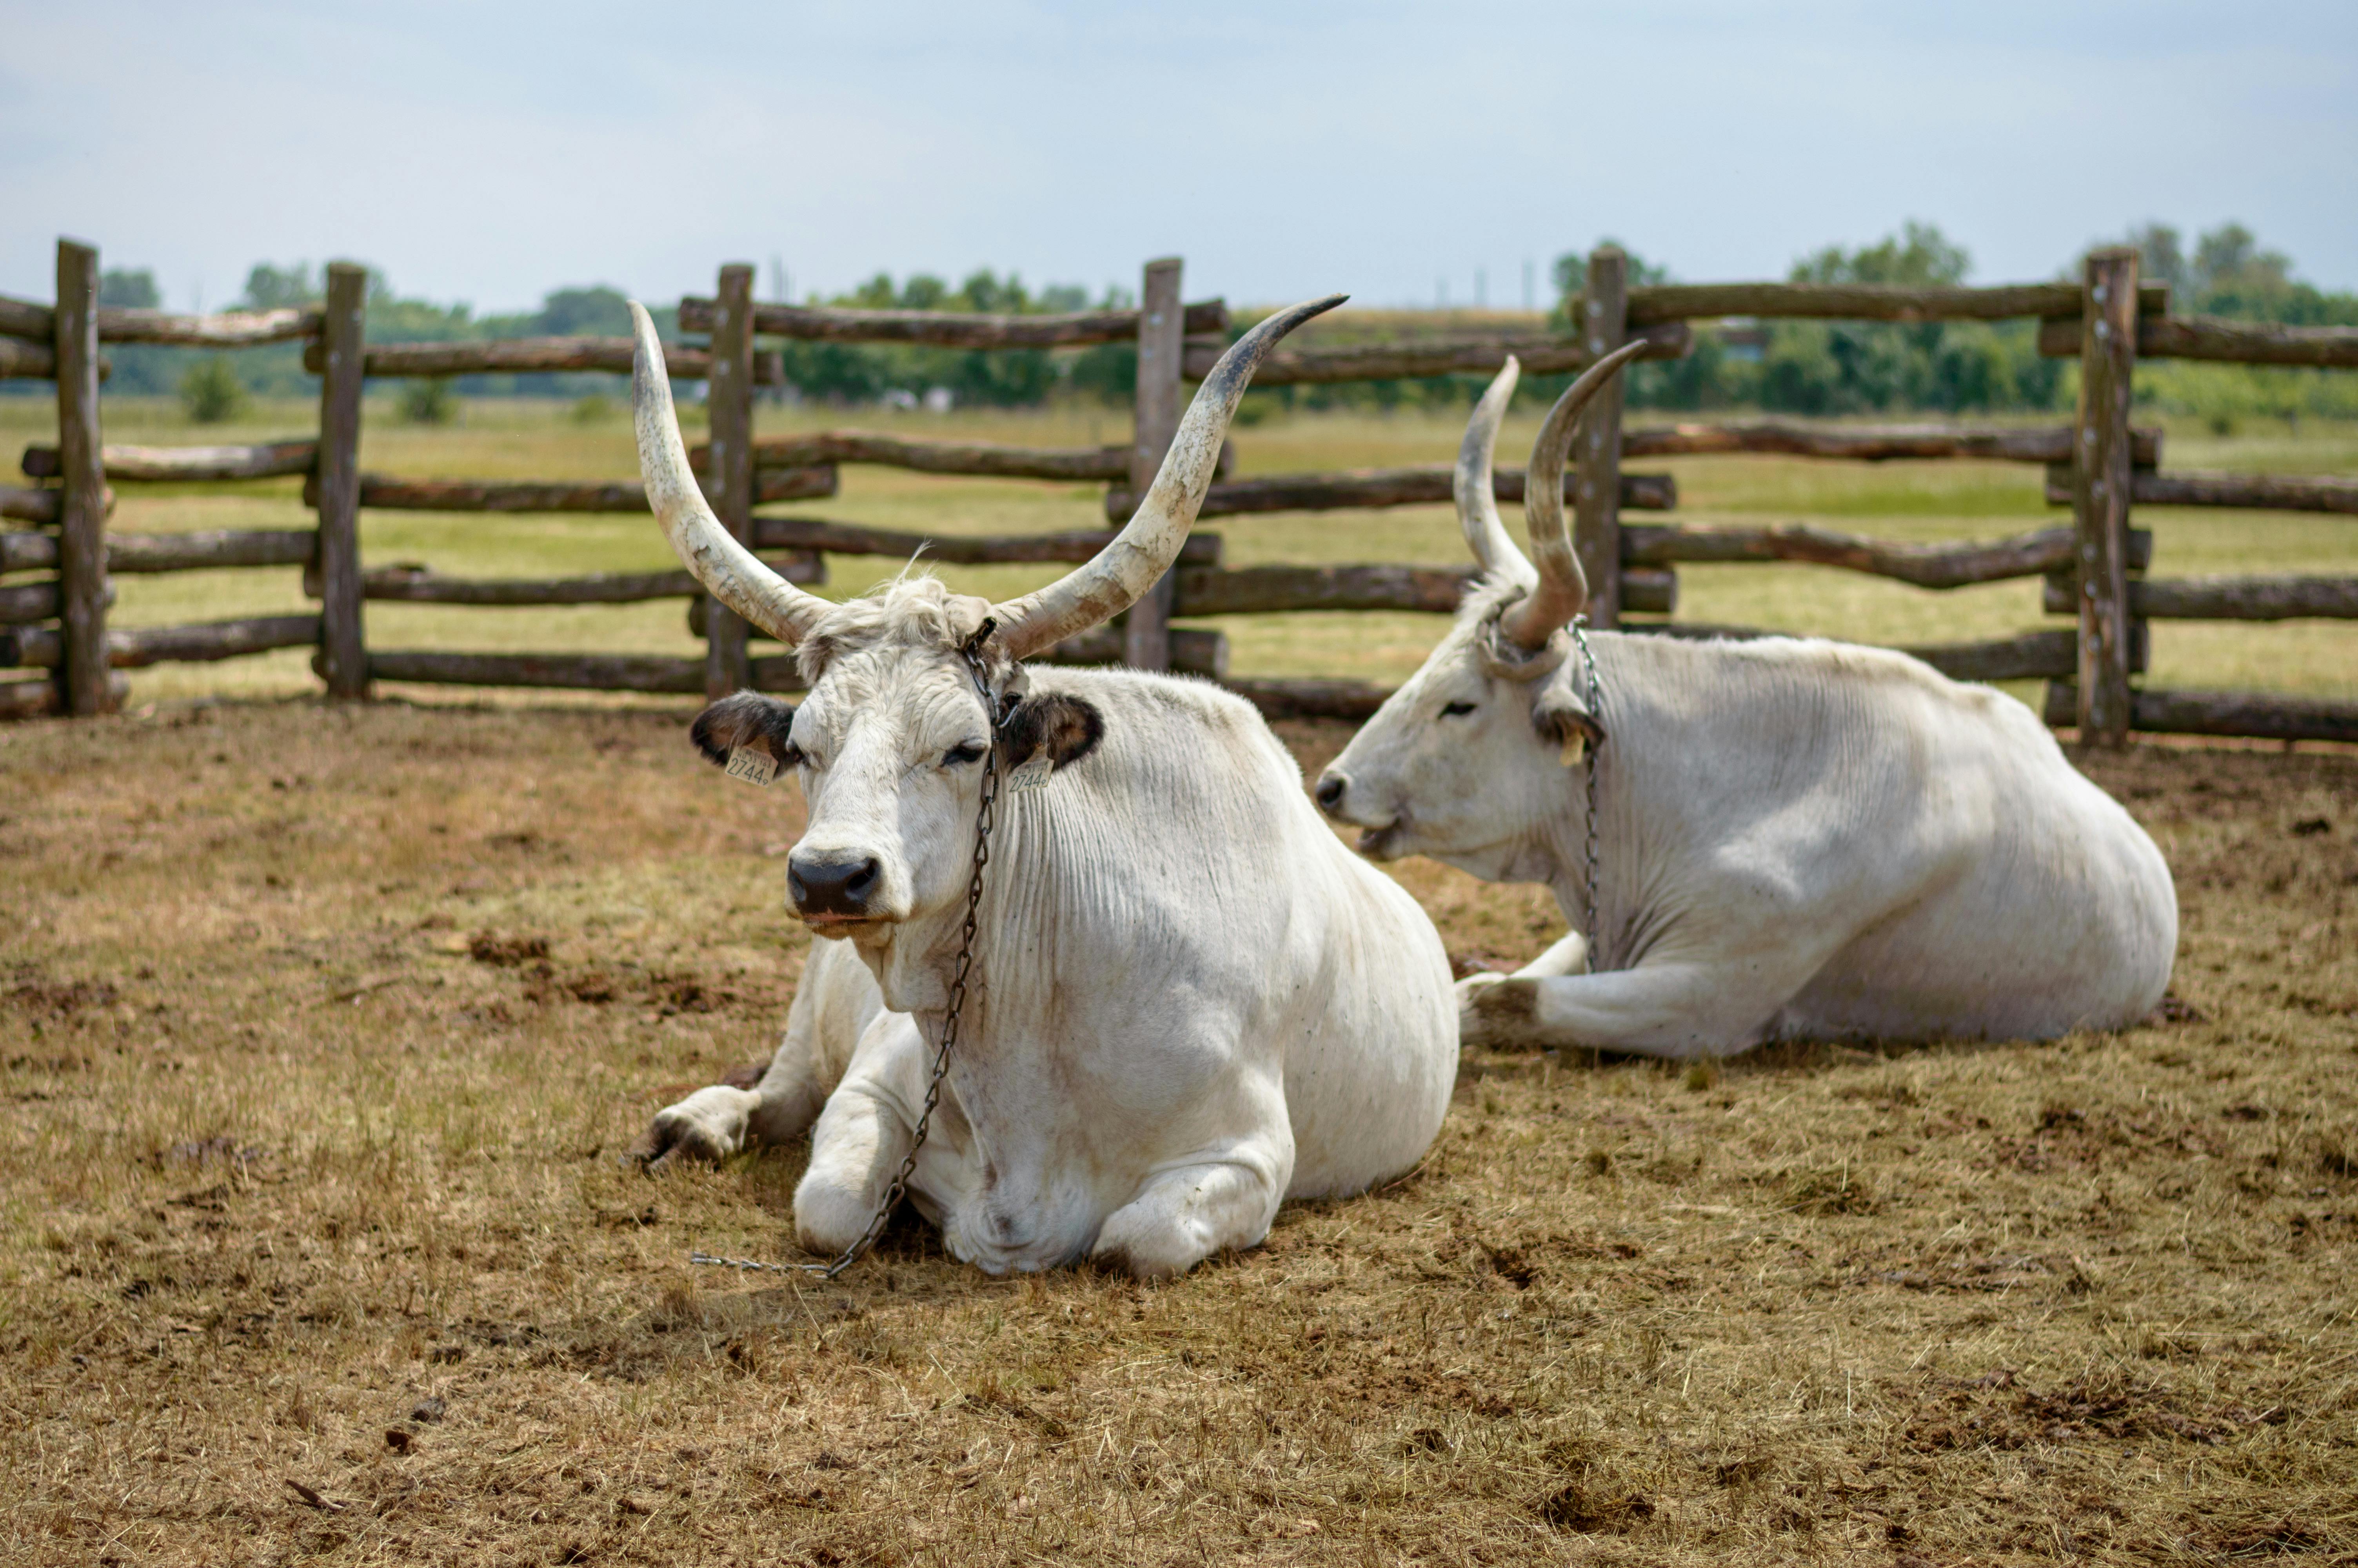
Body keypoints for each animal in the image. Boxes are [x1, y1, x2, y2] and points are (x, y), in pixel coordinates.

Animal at [625, 296, 1458, 1277]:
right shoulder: (870, 1084)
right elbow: (831, 1205)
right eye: (802, 748)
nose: (830, 876)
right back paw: (698, 1122)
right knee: (781, 1088)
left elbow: (1135, 1240)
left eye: (965, 748)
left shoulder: (1245, 1156)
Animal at [1313, 352, 2179, 1060]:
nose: (1330, 785)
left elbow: (1500, 999)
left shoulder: (1702, 997)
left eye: (1459, 705)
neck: (1718, 794)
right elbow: (1476, 986)